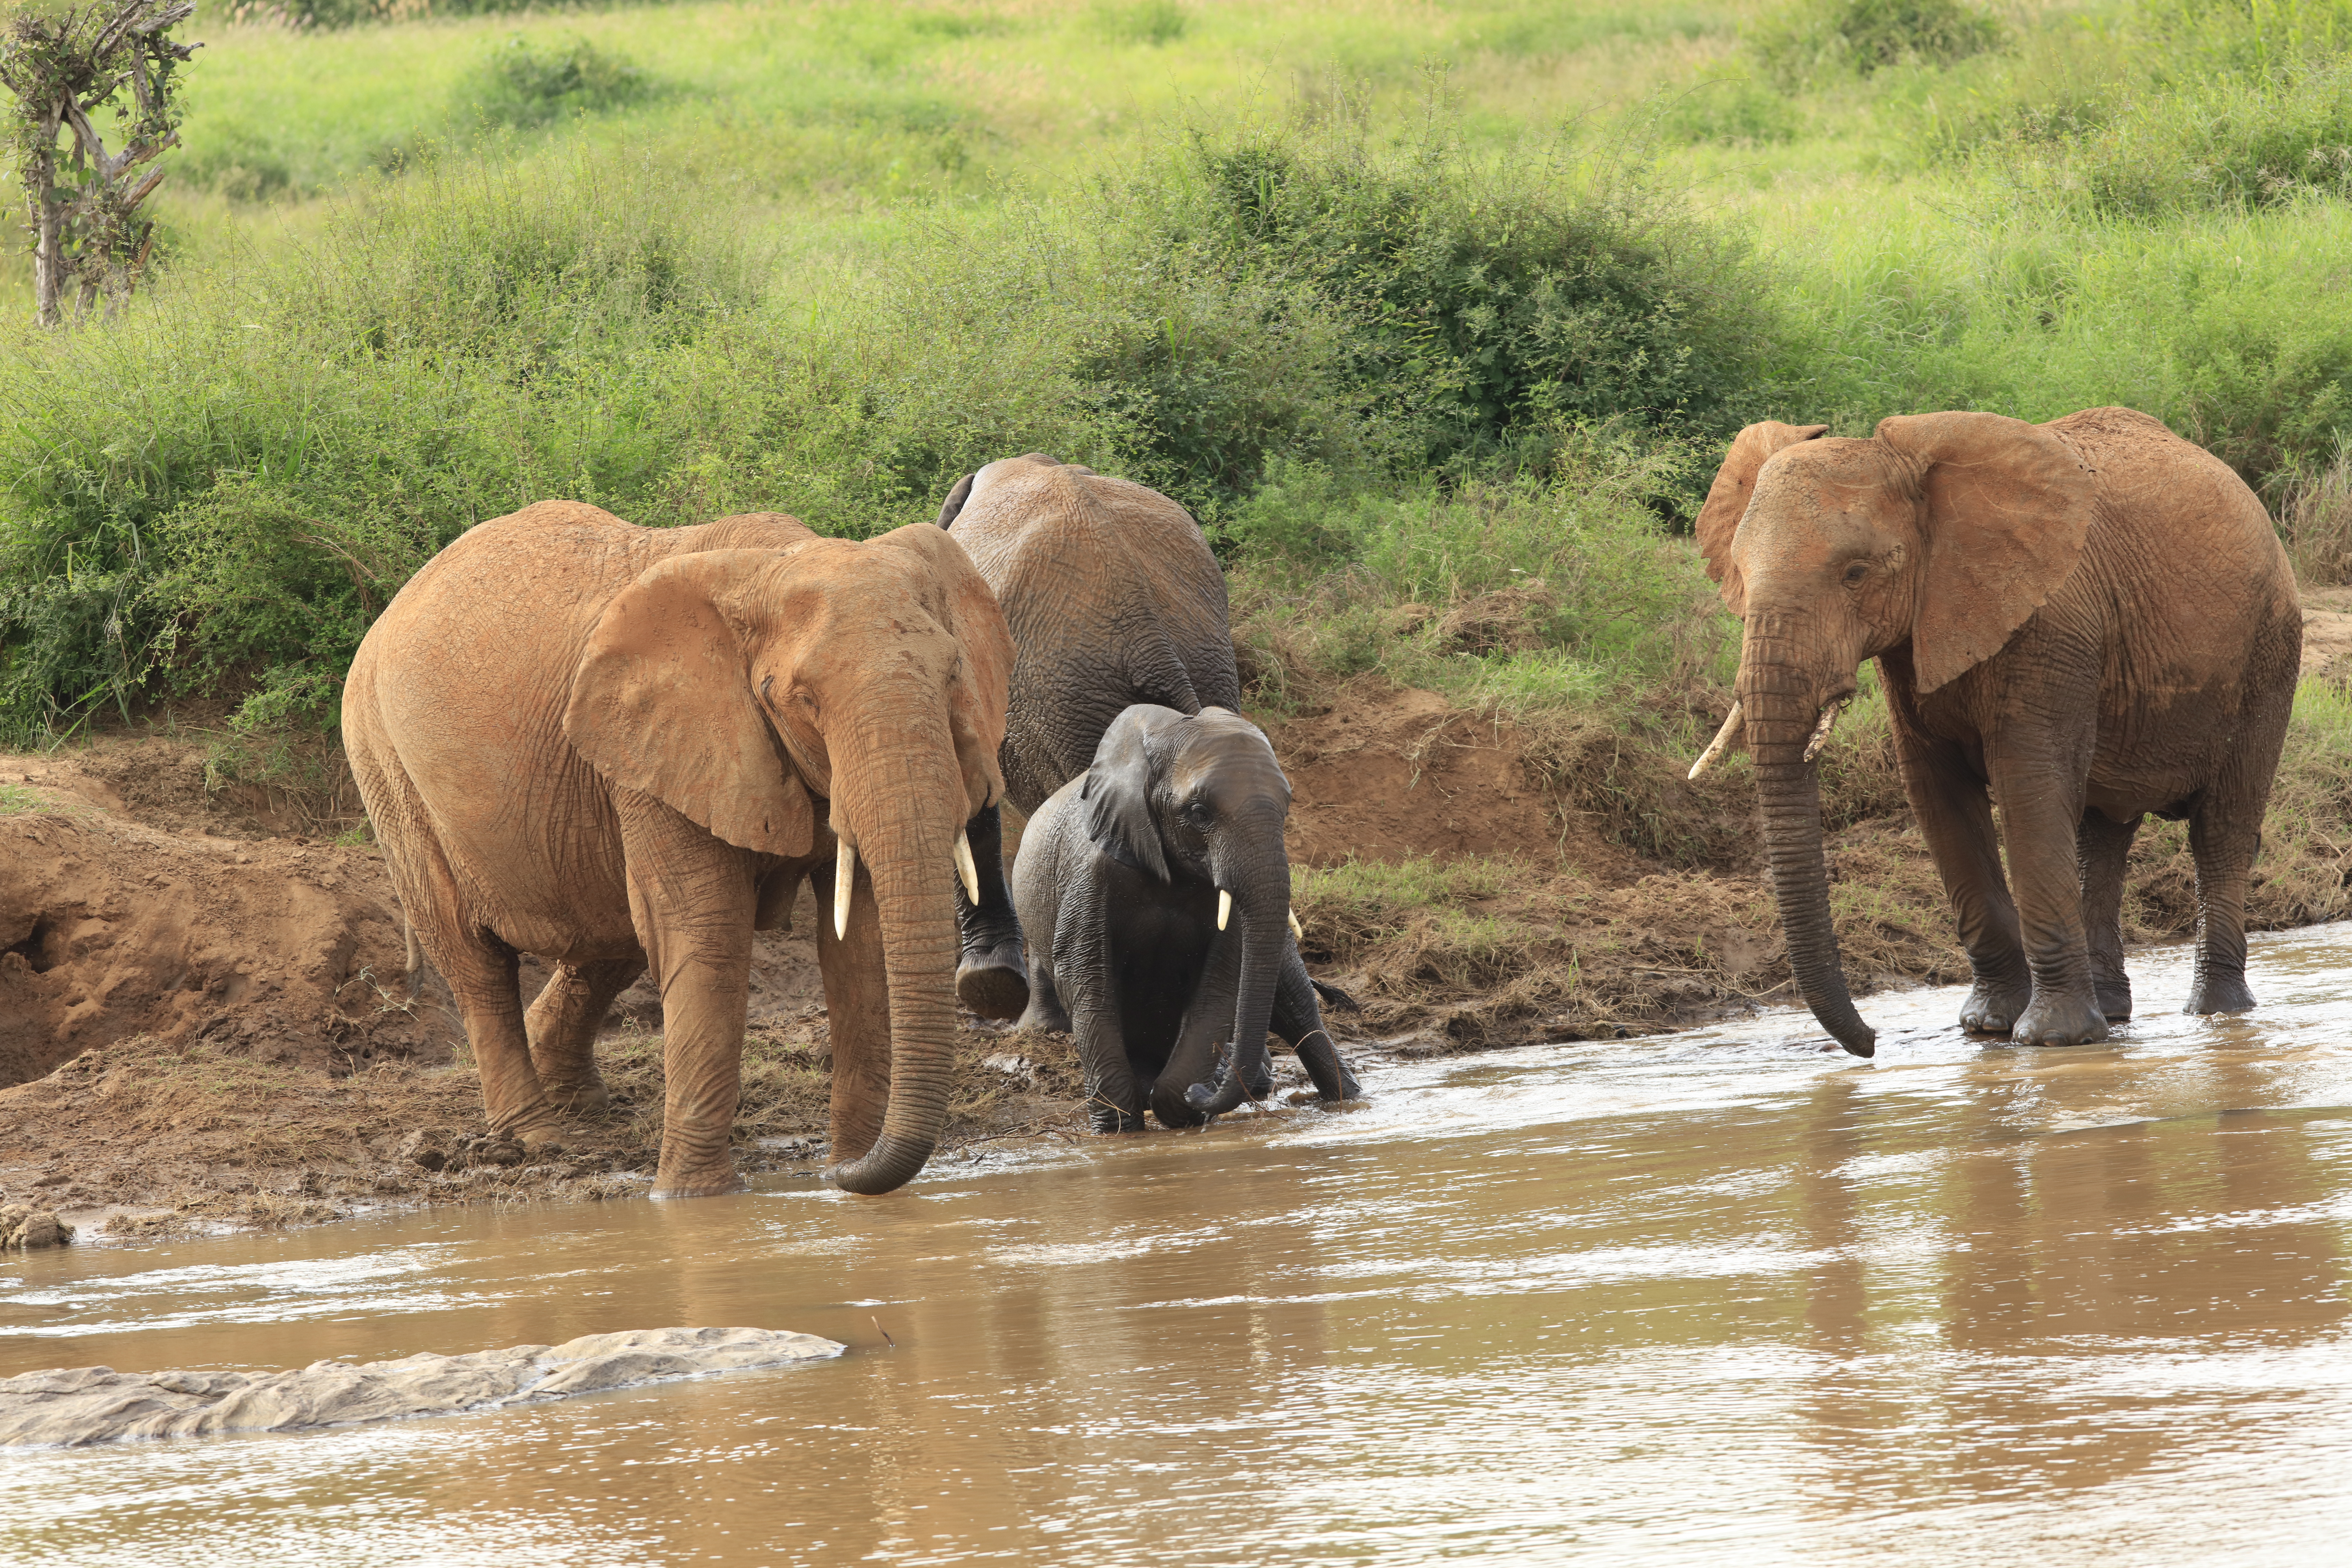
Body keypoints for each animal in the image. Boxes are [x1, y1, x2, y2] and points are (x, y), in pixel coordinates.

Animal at [342, 502, 1013, 1197]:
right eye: (802, 699)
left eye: (954, 676)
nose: (841, 1174)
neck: (774, 566)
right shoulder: (663, 745)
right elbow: (708, 931)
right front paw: (693, 1199)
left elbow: (860, 943)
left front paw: (847, 1172)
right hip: (385, 763)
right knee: (474, 958)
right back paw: (540, 1137)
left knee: (609, 938)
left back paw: (578, 1106)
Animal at [1012, 704, 1361, 1130]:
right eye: (1199, 813)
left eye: (1287, 807)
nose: (1204, 1091)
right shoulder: (1089, 875)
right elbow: (1087, 975)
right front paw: (1119, 1131)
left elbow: (1221, 979)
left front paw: (1182, 1103)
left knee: (1298, 1007)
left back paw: (1348, 1101)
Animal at [1688, 406, 2302, 1054]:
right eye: (1739, 572)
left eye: (1856, 572)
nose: (1872, 1042)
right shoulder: (1916, 641)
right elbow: (1938, 797)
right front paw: (1988, 1027)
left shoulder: (2049, 627)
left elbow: (2029, 785)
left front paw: (2050, 1039)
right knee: (2101, 835)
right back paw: (2114, 1013)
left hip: (2268, 651)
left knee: (2221, 828)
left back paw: (2217, 1013)